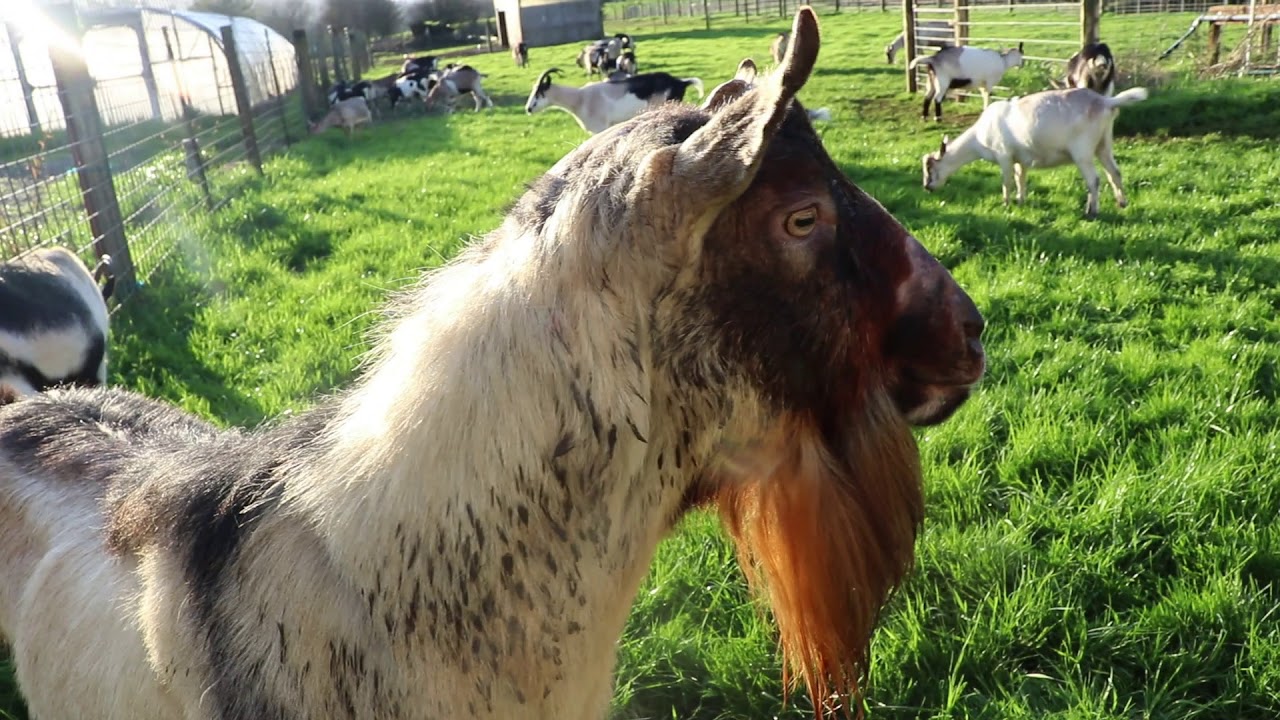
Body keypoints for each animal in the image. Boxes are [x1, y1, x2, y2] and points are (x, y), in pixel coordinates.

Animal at [922, 87, 1148, 218]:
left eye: (930, 168)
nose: (927, 188)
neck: (978, 138)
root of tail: (1105, 102)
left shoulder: (1004, 155)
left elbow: (1007, 181)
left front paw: (1006, 203)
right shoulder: (1020, 158)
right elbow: (1020, 178)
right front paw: (1021, 201)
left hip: (1082, 151)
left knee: (1094, 180)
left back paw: (1091, 211)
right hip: (1103, 144)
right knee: (1114, 173)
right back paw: (1122, 203)